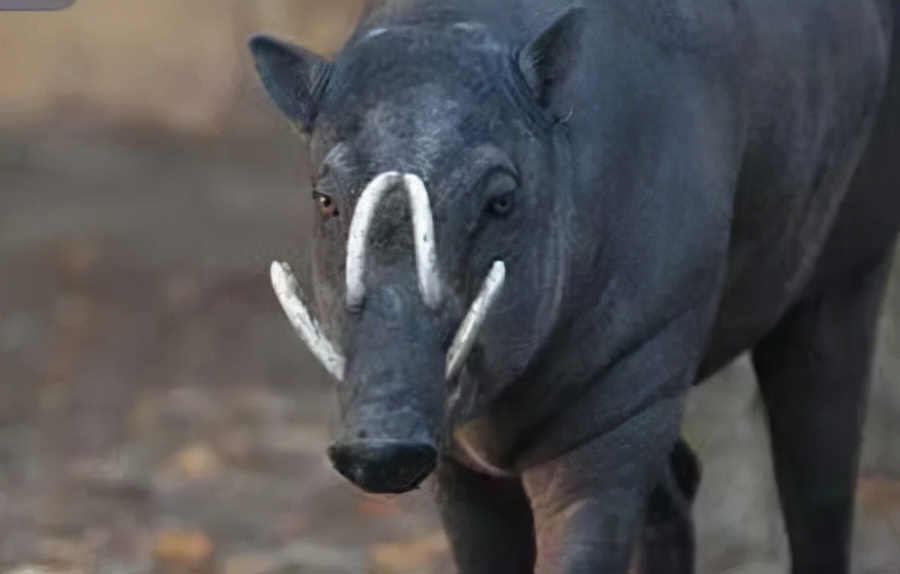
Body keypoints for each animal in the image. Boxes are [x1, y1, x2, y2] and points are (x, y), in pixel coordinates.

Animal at [248, 1, 900, 572]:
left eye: (501, 199)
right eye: (325, 199)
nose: (380, 447)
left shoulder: (627, 386)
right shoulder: (457, 458)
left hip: (848, 268)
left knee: (819, 479)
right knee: (678, 486)